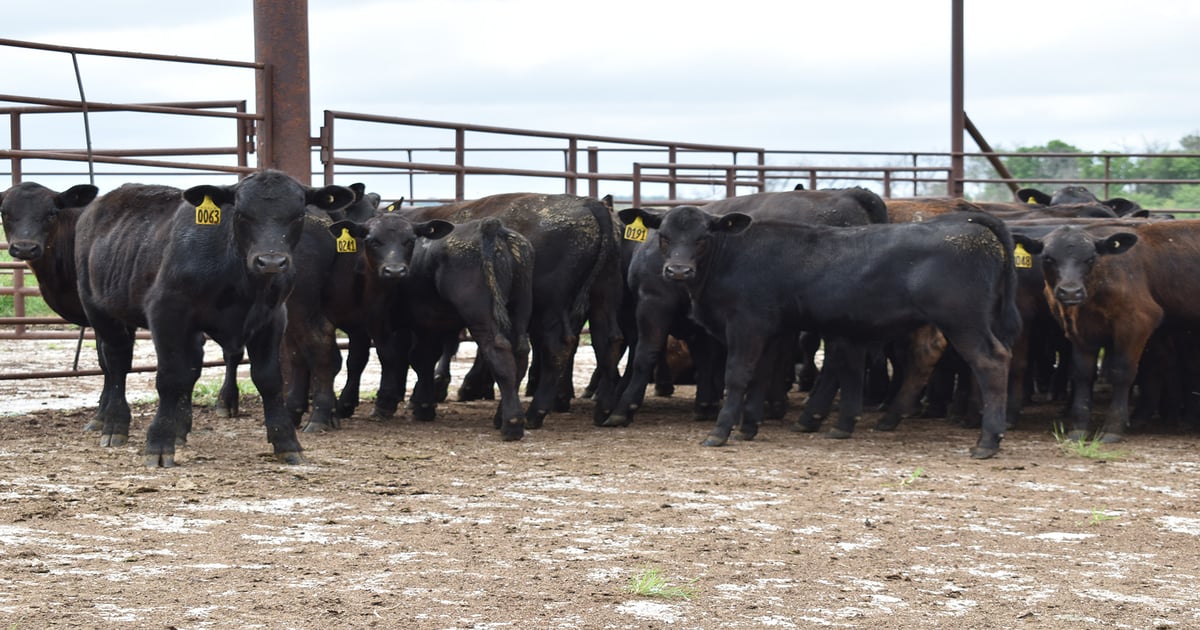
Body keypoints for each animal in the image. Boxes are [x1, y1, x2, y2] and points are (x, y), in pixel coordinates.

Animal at [74, 170, 354, 466]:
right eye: (241, 213)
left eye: (298, 214)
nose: (271, 262)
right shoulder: (165, 312)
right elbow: (170, 376)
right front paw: (159, 443)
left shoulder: (272, 319)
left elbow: (269, 380)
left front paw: (287, 442)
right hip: (98, 308)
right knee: (117, 361)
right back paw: (114, 424)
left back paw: (178, 429)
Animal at [332, 213, 534, 439]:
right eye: (372, 240)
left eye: (410, 240)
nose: (395, 271)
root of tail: (490, 227)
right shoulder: (427, 323)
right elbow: (422, 359)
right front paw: (424, 406)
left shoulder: (374, 321)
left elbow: (378, 358)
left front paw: (374, 403)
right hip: (519, 309)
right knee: (520, 354)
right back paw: (502, 416)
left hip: (480, 314)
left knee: (498, 352)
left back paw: (511, 423)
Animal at [623, 205, 1018, 458]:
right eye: (665, 236)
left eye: (703, 236)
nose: (678, 271)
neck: (734, 255)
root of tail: (967, 221)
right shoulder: (775, 331)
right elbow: (762, 376)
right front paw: (749, 427)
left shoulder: (746, 326)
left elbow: (737, 376)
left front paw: (720, 432)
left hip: (963, 321)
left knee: (992, 362)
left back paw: (987, 440)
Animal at [1011, 219, 1200, 442]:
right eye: (1048, 258)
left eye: (1090, 258)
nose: (1070, 292)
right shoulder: (1079, 332)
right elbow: (1082, 373)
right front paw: (1079, 427)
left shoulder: (1136, 323)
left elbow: (1122, 372)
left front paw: (1113, 427)